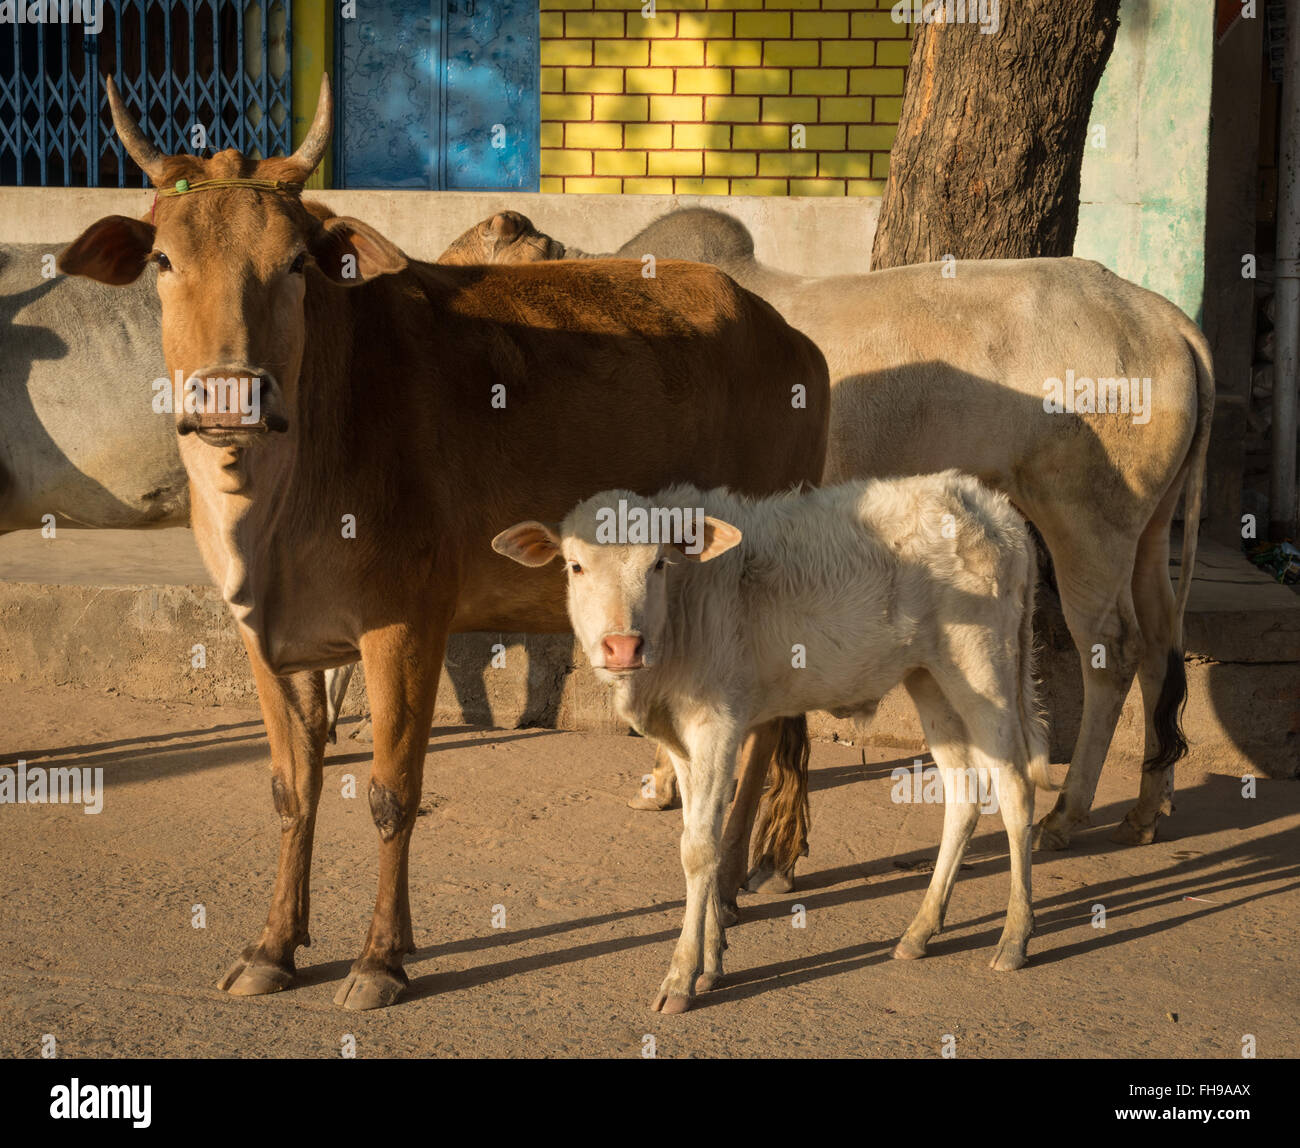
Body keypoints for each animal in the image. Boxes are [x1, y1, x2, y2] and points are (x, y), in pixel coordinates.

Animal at [56, 76, 829, 1010]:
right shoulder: (264, 636)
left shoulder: (407, 623)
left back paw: (730, 895)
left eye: (295, 264)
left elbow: (393, 792)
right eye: (165, 261)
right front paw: (273, 946)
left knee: (762, 734)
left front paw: (380, 959)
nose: (230, 394)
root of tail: (792, 338)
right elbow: (292, 790)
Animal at [472, 208, 1215, 871]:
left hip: (1085, 517)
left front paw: (662, 783)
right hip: (1148, 529)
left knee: (1112, 649)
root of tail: (1168, 320)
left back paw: (1068, 813)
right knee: (1159, 643)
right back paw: (1145, 809)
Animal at [493, 473, 1052, 1012]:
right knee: (963, 793)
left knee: (1015, 789)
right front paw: (713, 961)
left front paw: (681, 977)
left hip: (985, 666)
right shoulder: (682, 740)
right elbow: (702, 837)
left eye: (658, 563)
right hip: (930, 677)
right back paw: (921, 932)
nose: (623, 646)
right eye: (575, 566)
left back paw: (1014, 939)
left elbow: (699, 847)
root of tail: (990, 504)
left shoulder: (718, 722)